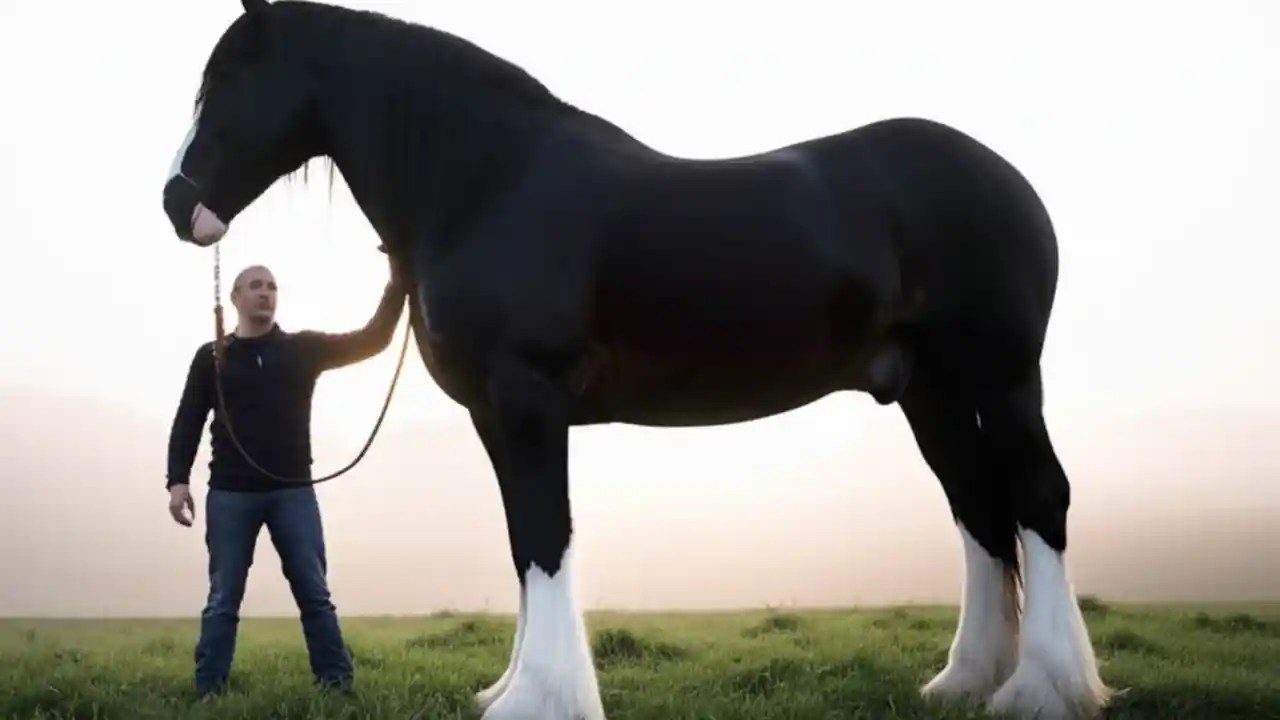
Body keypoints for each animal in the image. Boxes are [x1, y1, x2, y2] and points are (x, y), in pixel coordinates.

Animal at [161, 1, 1110, 718]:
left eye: (229, 83)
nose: (177, 203)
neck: (490, 180)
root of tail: (1006, 178)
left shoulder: (529, 401)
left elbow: (547, 536)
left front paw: (540, 700)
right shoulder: (495, 416)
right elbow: (522, 542)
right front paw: (514, 687)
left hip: (1004, 376)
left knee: (1037, 497)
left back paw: (1045, 691)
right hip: (931, 393)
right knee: (978, 511)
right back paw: (965, 683)